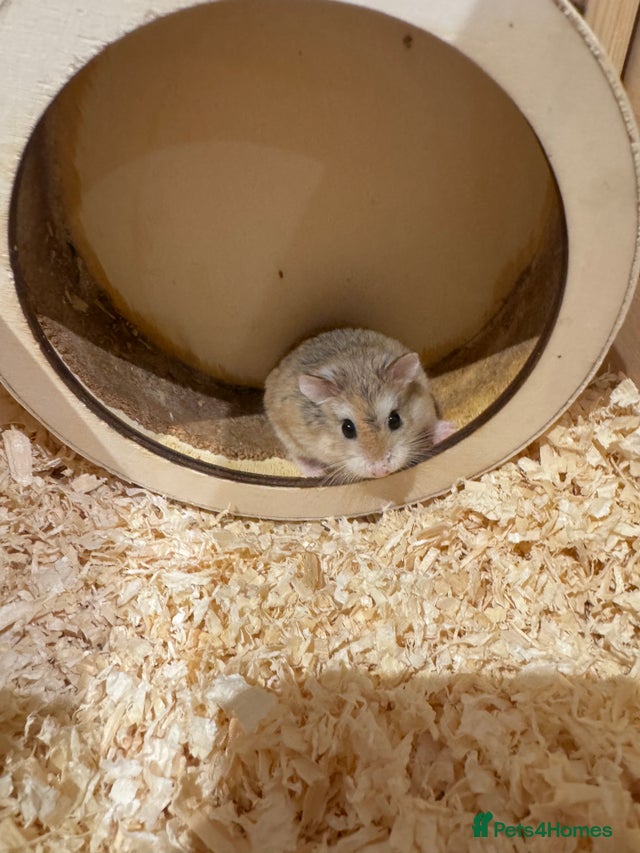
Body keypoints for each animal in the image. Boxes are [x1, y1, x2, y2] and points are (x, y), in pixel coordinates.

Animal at [263, 328, 455, 482]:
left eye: (395, 420)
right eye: (347, 429)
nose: (380, 471)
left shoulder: (425, 405)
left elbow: (432, 423)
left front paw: (449, 430)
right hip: (285, 435)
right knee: (296, 456)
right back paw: (315, 473)